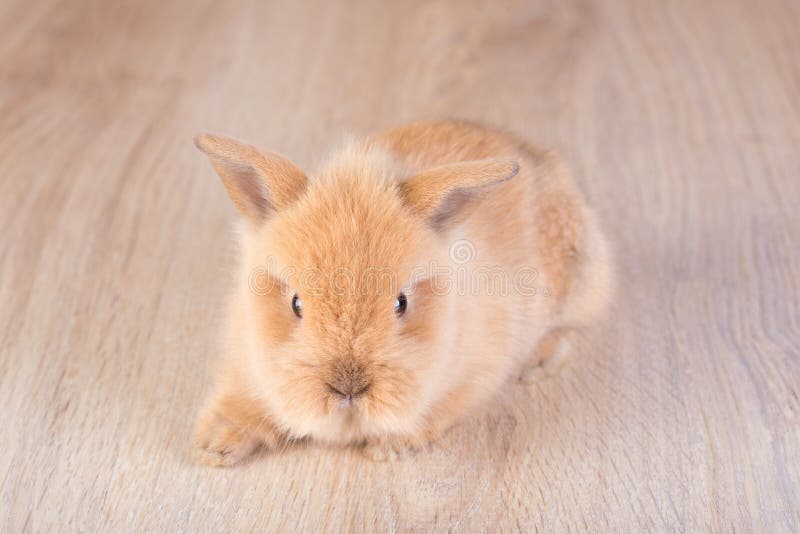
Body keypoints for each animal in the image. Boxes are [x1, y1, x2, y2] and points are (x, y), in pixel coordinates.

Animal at [192, 120, 613, 465]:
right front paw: (213, 445)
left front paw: (387, 446)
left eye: (401, 303)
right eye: (296, 304)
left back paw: (538, 364)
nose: (348, 387)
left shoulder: (473, 377)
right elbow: (242, 402)